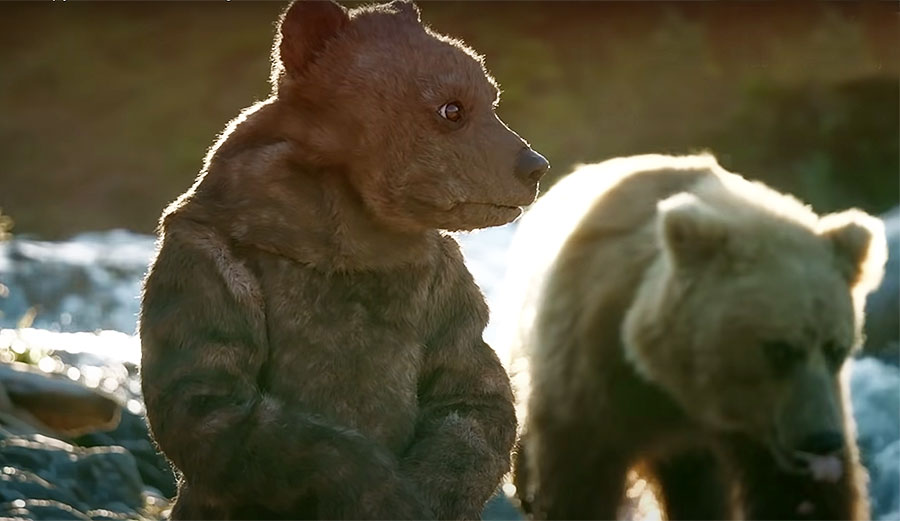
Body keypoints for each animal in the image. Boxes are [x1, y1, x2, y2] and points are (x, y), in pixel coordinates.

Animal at [138, 1, 549, 519]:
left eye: (491, 99)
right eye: (452, 109)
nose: (535, 166)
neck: (347, 234)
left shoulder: (442, 279)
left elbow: (472, 395)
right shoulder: (208, 257)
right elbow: (209, 395)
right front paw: (383, 494)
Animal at [501, 154, 887, 520]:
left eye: (836, 348)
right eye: (779, 350)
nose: (822, 439)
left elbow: (800, 497)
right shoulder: (592, 376)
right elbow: (580, 476)